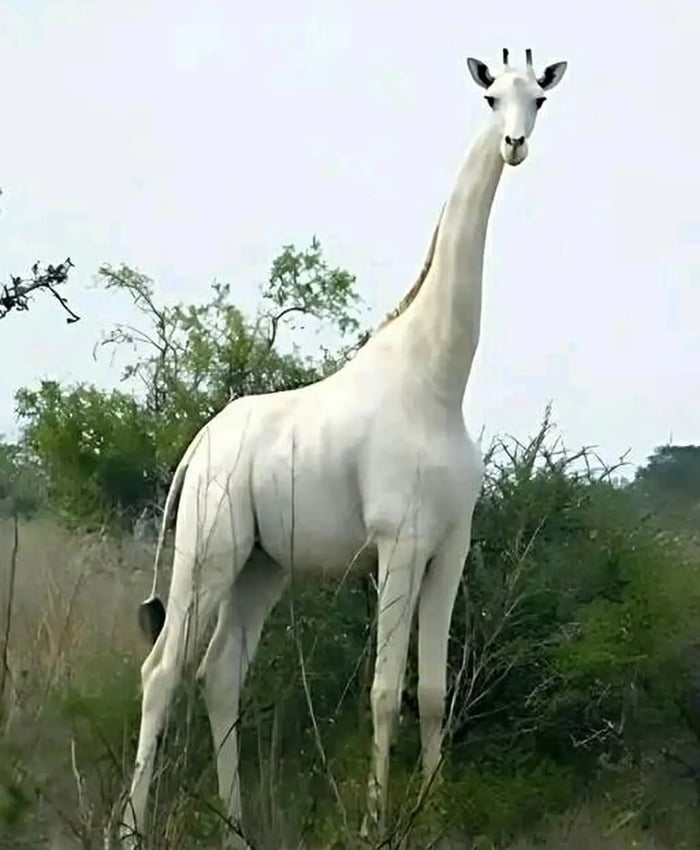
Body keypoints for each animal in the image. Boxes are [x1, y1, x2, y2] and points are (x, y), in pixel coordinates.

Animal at [119, 48, 567, 848]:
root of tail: (197, 447)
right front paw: (372, 824)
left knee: (220, 672)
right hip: (210, 548)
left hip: (261, 564)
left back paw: (239, 826)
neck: (438, 381)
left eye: (539, 99)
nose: (515, 146)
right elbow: (385, 690)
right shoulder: (399, 541)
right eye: (491, 97)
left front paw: (431, 817)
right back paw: (134, 830)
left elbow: (432, 690)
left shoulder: (450, 545)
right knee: (162, 671)